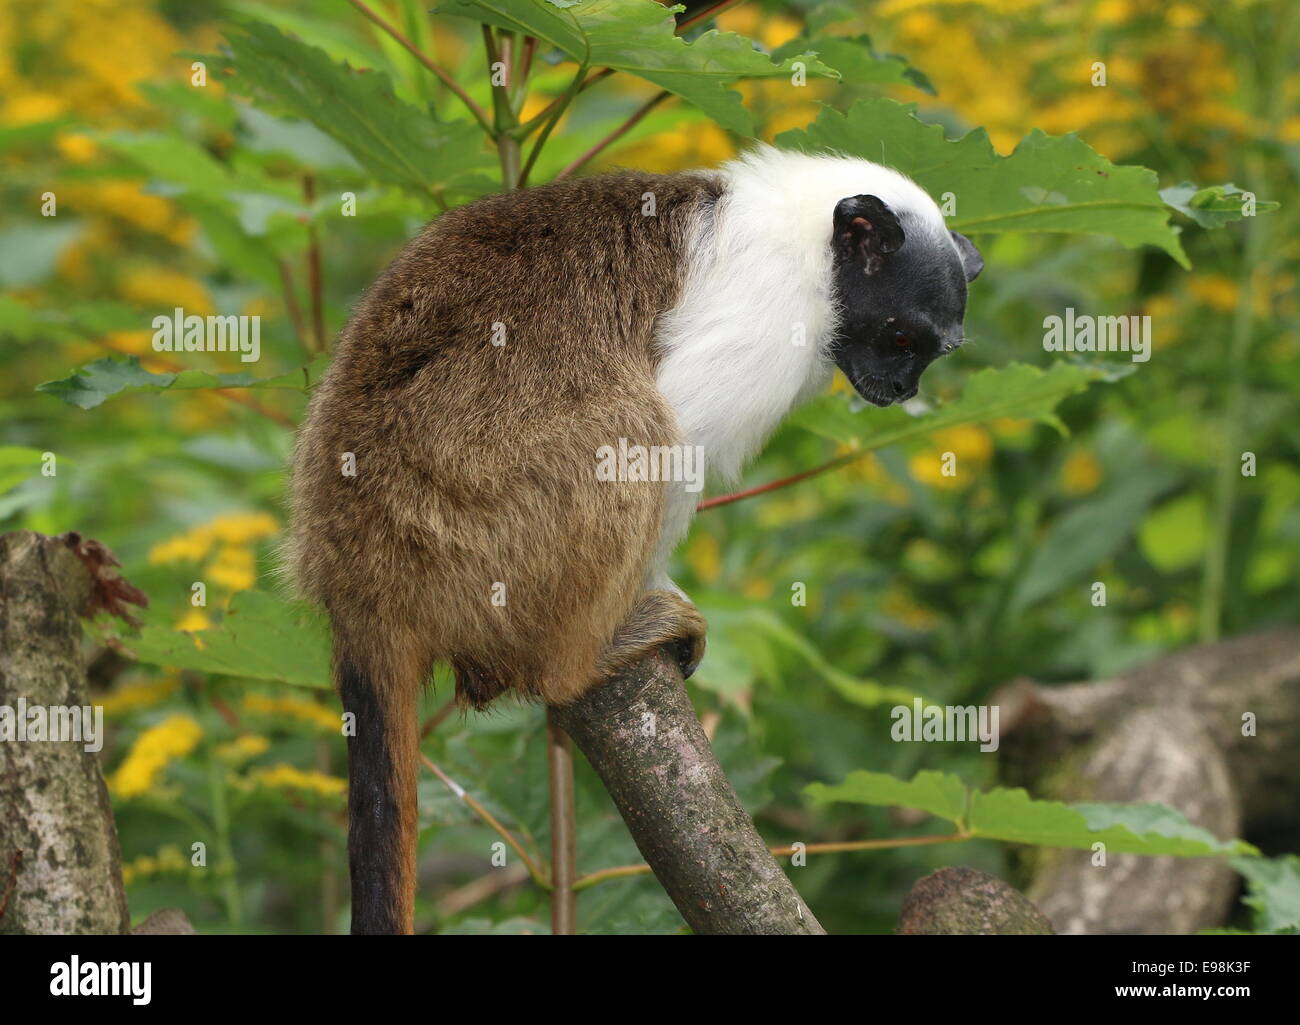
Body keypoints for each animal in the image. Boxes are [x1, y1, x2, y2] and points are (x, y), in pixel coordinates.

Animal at [285, 145, 983, 934]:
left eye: (928, 354)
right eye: (901, 340)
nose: (901, 389)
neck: (809, 248)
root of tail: (354, 580)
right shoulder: (771, 321)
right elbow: (677, 427)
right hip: (463, 535)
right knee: (635, 422)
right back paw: (579, 661)